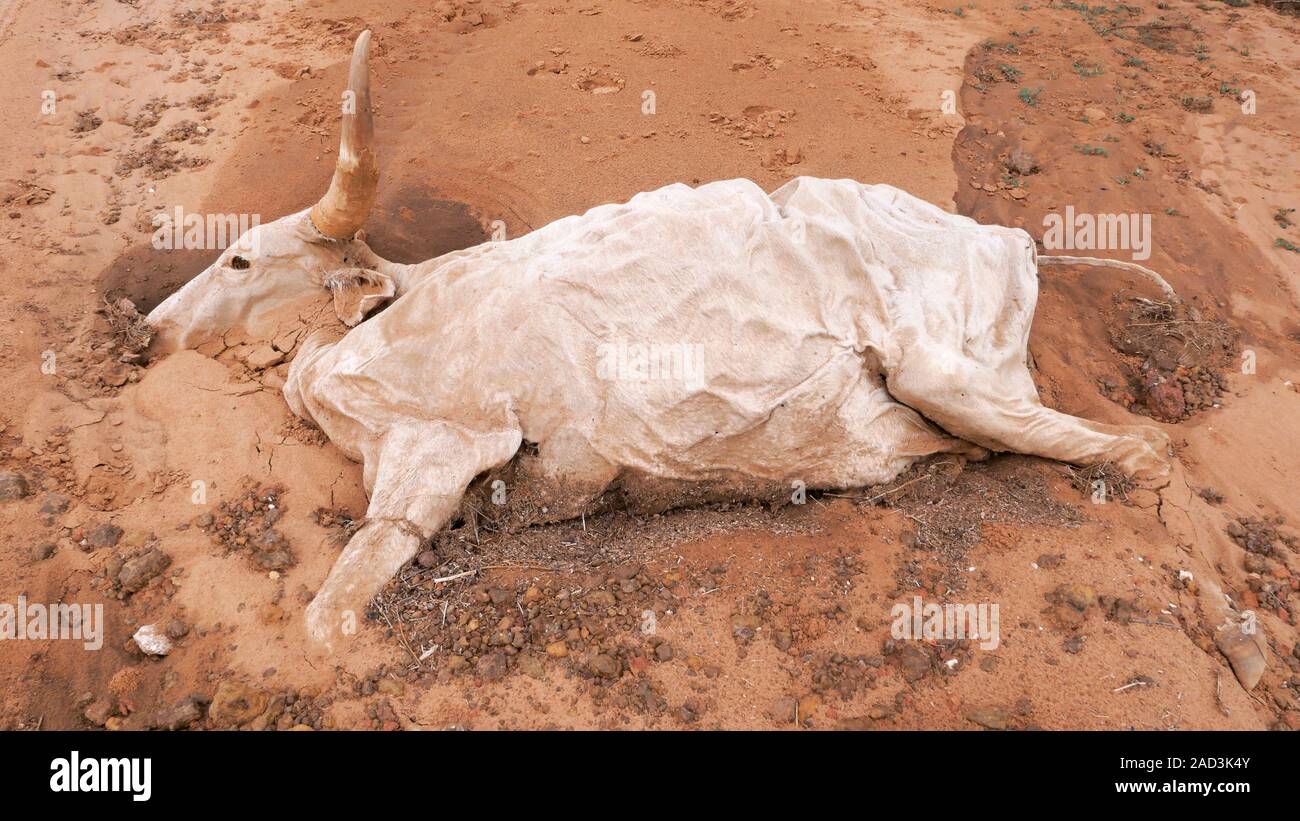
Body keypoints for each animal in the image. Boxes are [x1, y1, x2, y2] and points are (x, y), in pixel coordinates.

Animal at [147, 32, 1172, 650]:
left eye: (238, 260)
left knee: (1136, 450)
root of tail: (1014, 243)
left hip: (940, 367)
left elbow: (335, 606)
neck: (380, 315)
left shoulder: (439, 448)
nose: (149, 327)